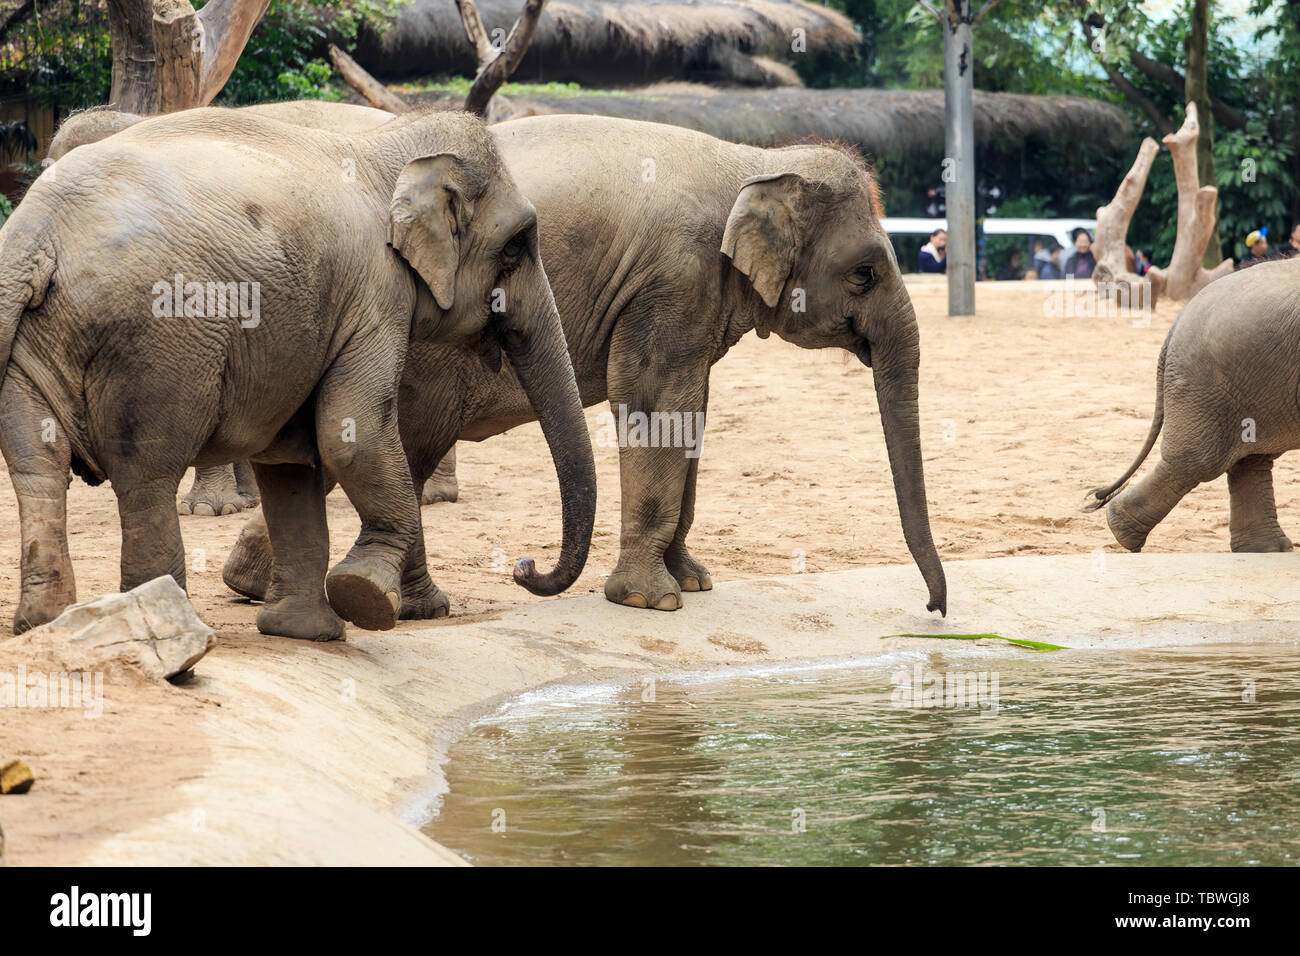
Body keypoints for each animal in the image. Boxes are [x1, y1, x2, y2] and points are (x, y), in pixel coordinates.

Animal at [0, 105, 595, 639]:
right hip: (158, 346)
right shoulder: (374, 295)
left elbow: (291, 460)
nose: (524, 566)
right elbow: (351, 433)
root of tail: (37, 233)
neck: (385, 148)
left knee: (37, 463)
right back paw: (167, 625)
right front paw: (366, 598)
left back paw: (43, 622)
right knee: (146, 473)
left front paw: (303, 632)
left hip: (32, 345)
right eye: (515, 247)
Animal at [1085, 257, 1300, 552]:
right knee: (1197, 462)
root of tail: (1178, 322)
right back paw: (1123, 534)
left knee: (1251, 459)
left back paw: (1267, 551)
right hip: (1216, 383)